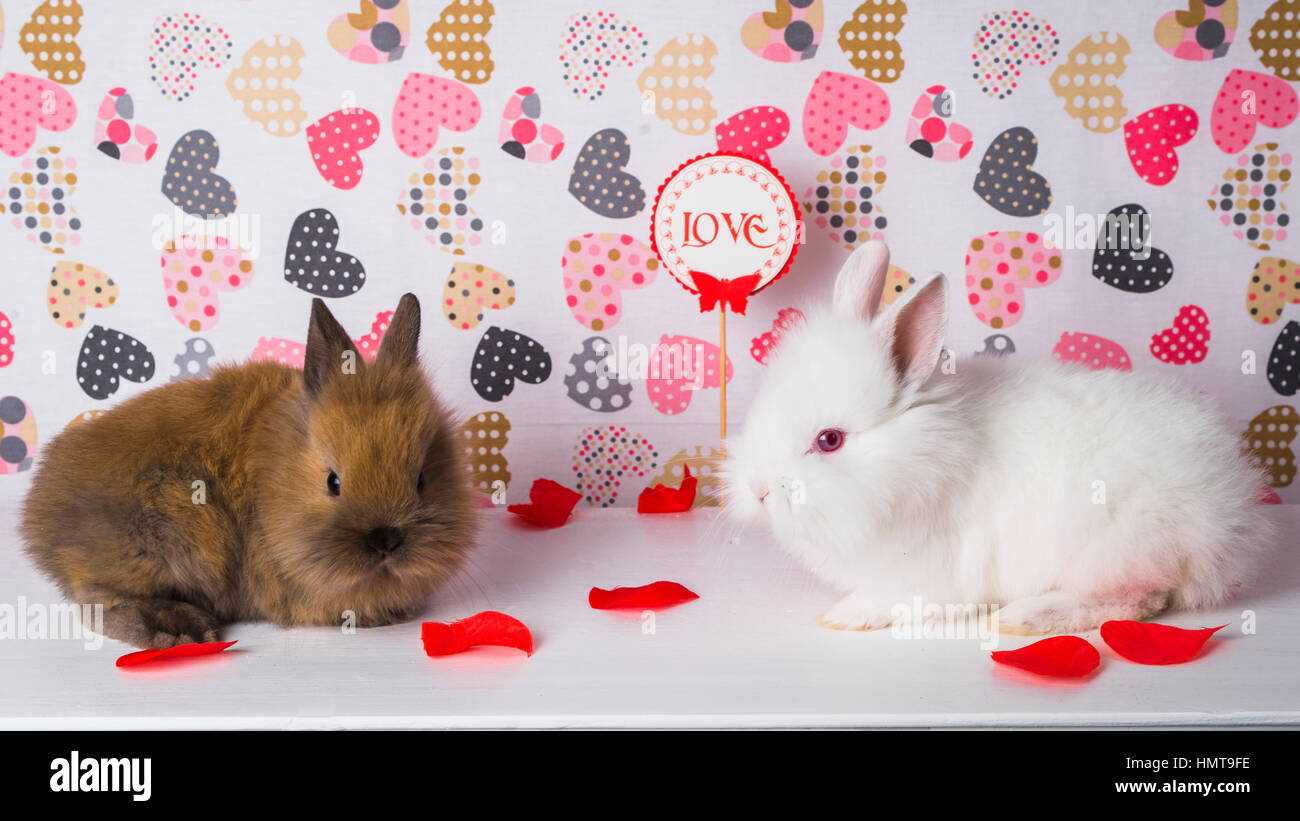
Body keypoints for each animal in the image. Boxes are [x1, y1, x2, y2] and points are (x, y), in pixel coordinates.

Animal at [21, 293, 479, 649]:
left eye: (421, 479)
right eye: (333, 481)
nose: (386, 540)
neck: (274, 468)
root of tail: (37, 521)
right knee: (97, 601)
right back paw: (179, 631)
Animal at [725, 241, 1271, 635]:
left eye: (830, 440)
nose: (759, 489)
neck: (922, 455)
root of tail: (1226, 518)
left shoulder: (926, 573)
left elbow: (895, 600)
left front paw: (847, 615)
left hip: (1120, 544)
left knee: (1138, 599)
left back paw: (1025, 617)